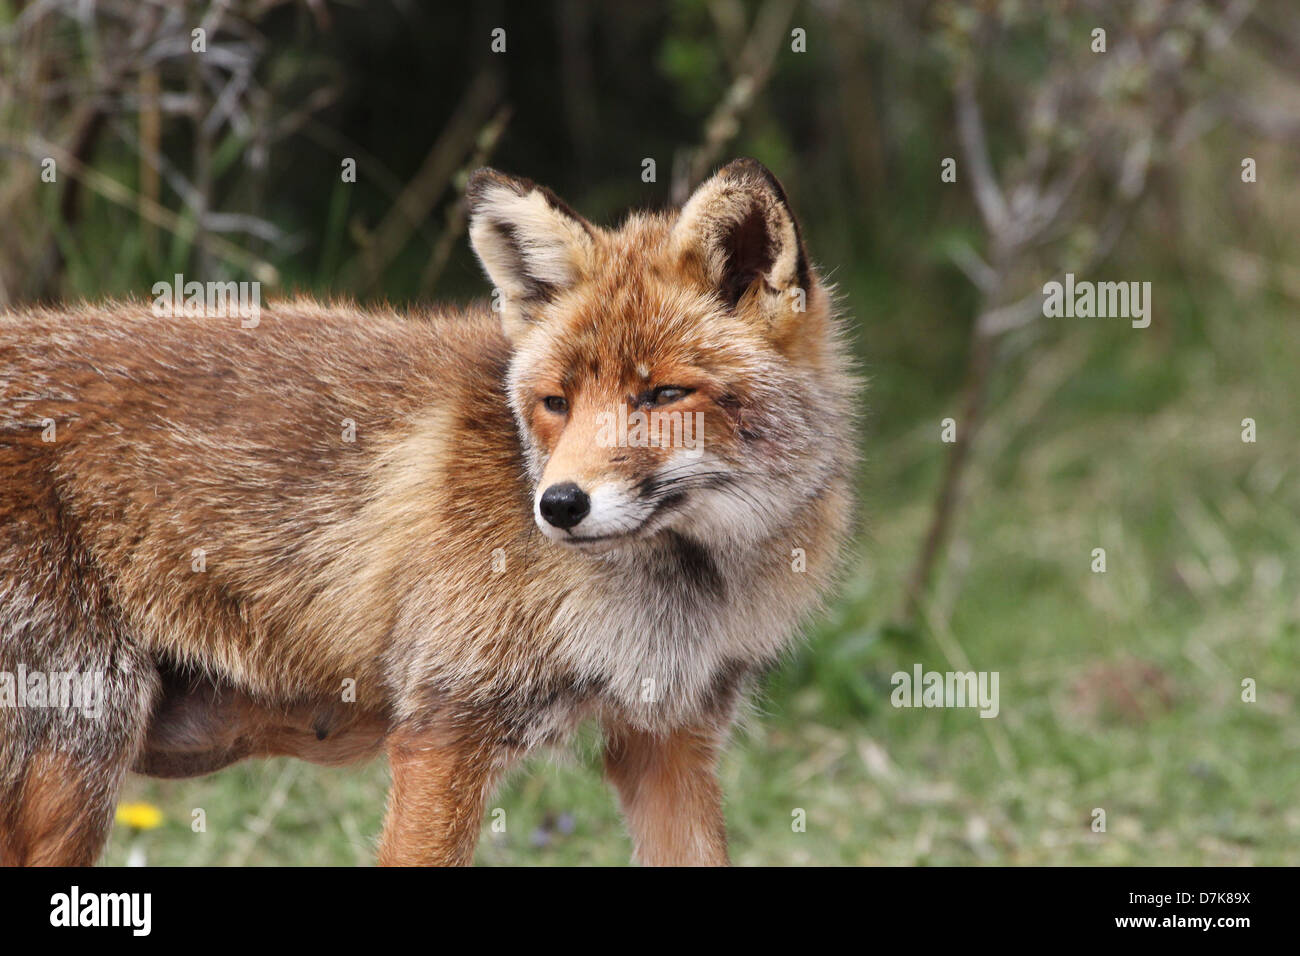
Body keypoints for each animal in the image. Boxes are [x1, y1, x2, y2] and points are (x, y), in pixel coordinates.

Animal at [0, 158, 856, 866]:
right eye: (556, 403)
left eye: (664, 395)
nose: (558, 506)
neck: (676, 597)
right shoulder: (445, 731)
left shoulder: (668, 740)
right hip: (77, 753)